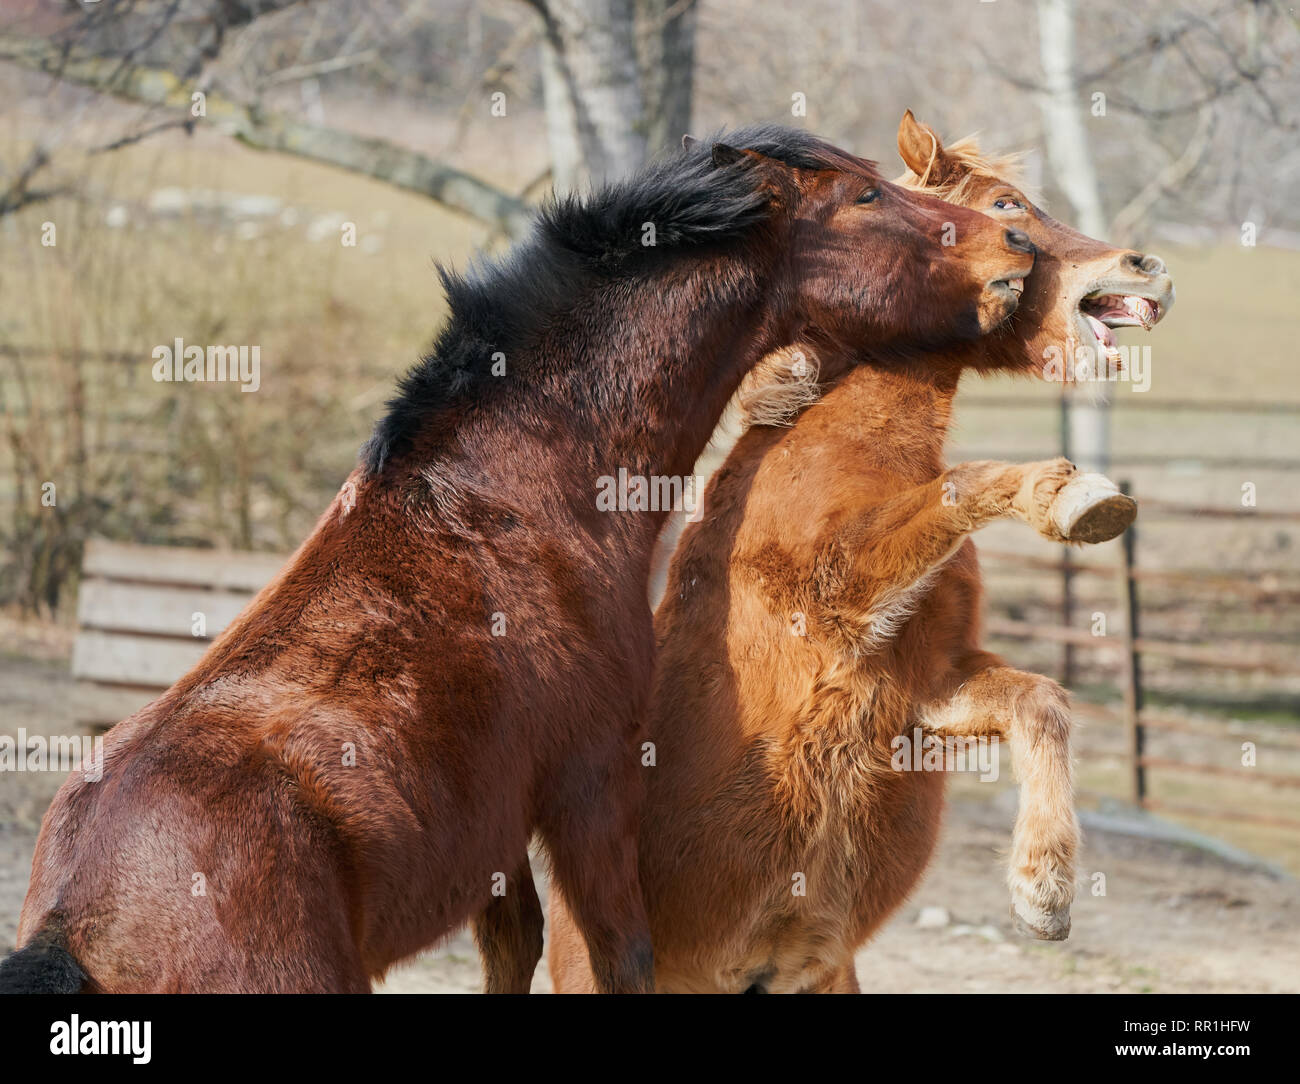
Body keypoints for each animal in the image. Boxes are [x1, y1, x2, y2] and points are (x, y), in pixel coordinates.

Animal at [2, 126, 1035, 993]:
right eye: (864, 197)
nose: (1015, 246)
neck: (517, 491)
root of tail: (77, 926)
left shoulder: (502, 834)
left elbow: (516, 948)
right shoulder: (588, 787)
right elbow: (621, 958)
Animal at [547, 112, 1174, 993]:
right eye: (1007, 206)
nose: (1147, 271)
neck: (842, 441)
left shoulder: (925, 687)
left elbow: (1042, 699)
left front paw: (1044, 893)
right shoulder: (836, 595)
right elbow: (963, 484)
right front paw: (1074, 497)